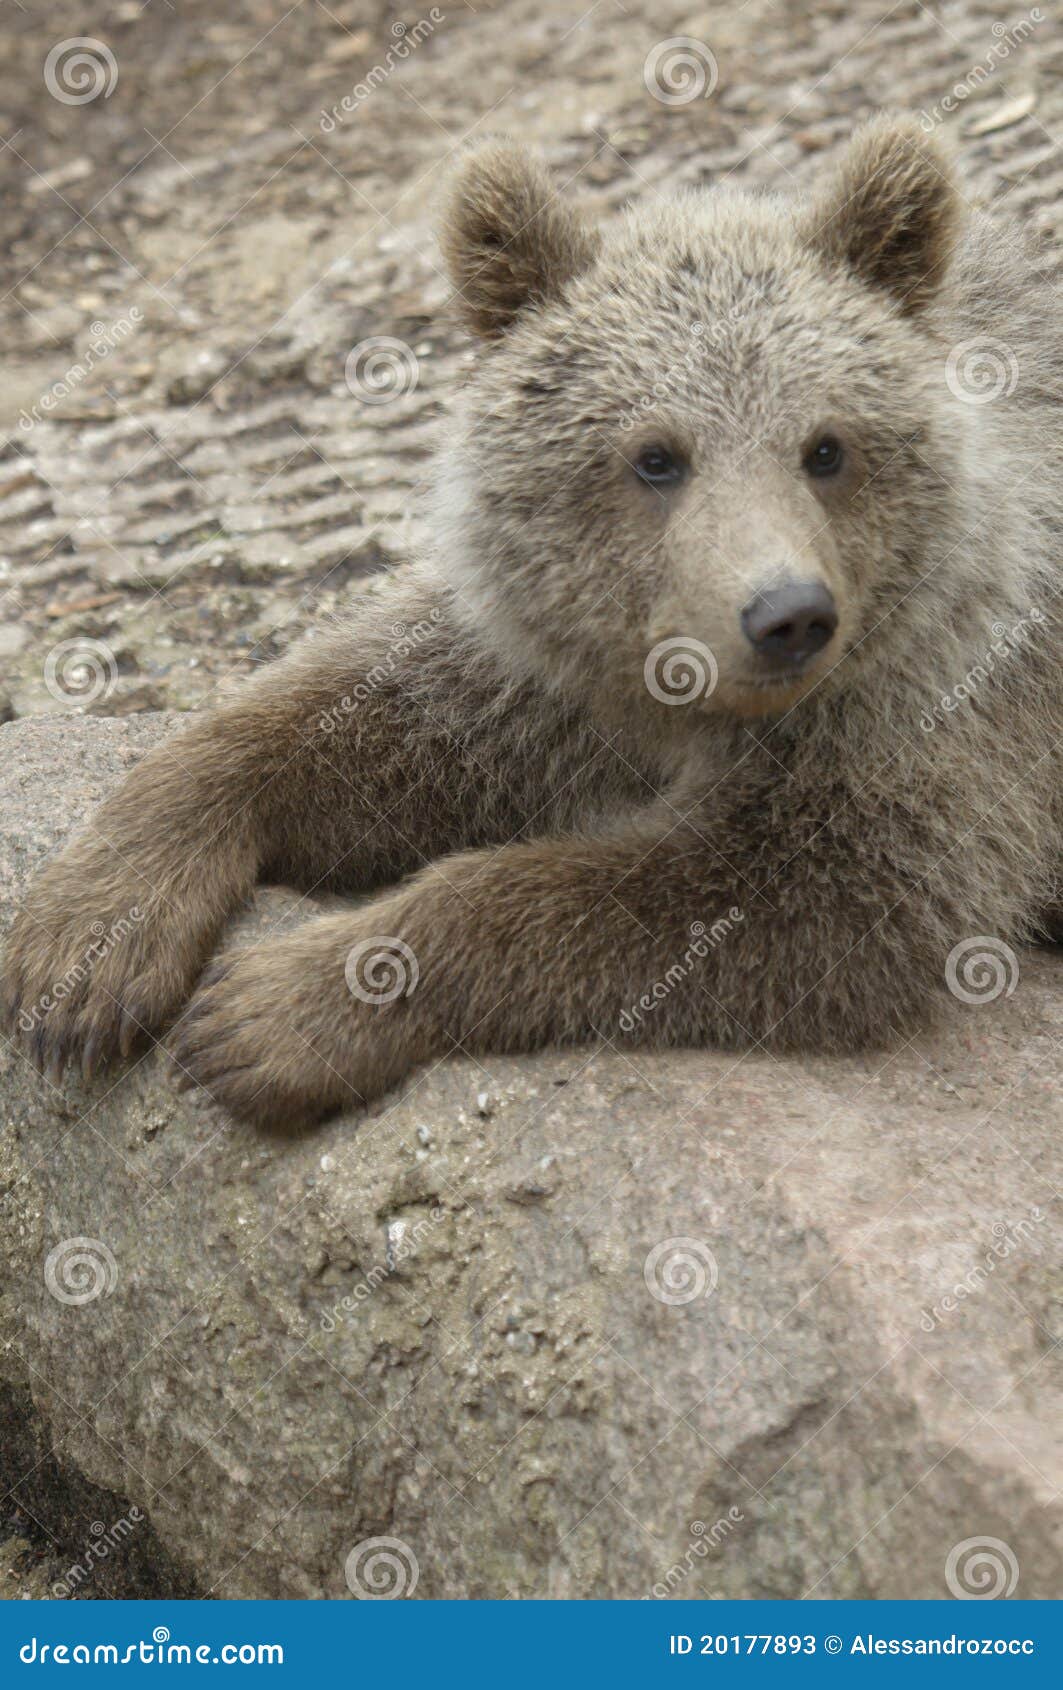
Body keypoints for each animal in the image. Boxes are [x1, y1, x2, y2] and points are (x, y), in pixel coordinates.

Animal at [3, 114, 1062, 1129]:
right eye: (655, 456)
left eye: (826, 447)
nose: (787, 615)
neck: (671, 696)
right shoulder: (539, 672)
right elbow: (355, 722)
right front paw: (84, 947)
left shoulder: (937, 705)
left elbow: (793, 892)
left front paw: (275, 1009)